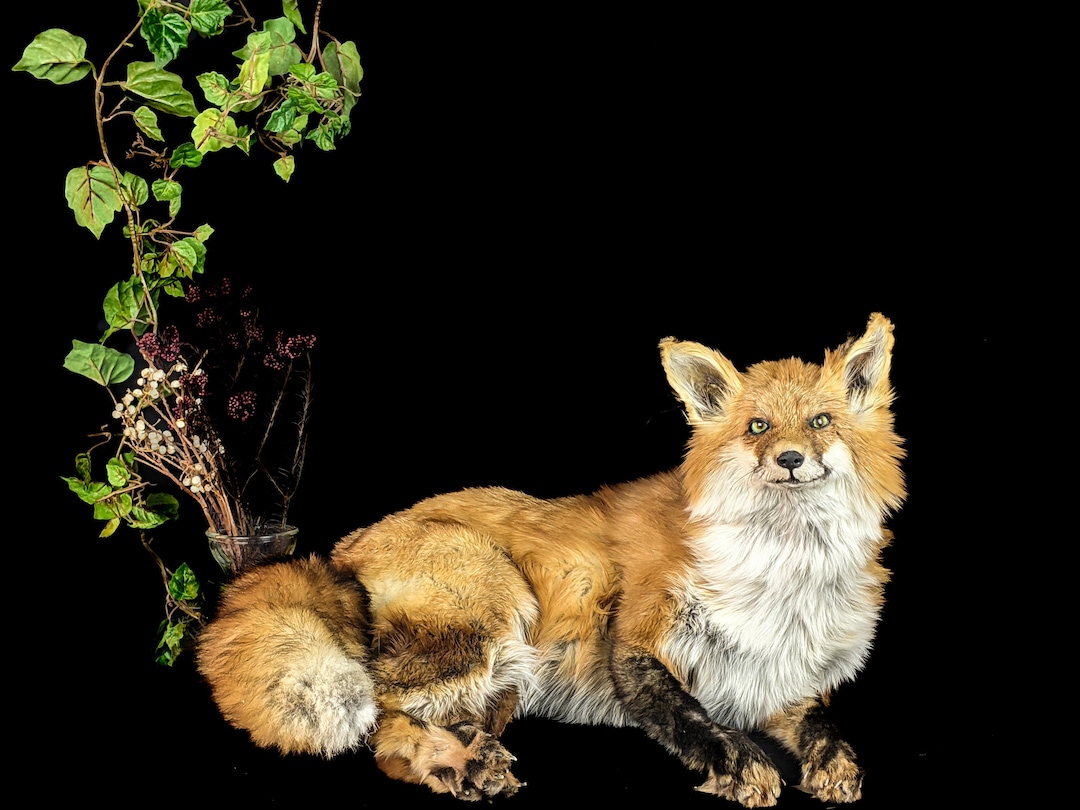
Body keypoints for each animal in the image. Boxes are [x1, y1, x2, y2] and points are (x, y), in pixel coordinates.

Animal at [196, 313, 905, 808]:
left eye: (820, 422)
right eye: (758, 427)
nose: (790, 458)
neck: (783, 580)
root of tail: (347, 544)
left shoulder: (778, 678)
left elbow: (821, 728)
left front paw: (834, 764)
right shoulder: (636, 644)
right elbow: (698, 723)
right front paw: (742, 767)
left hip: (505, 679)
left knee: (410, 732)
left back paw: (466, 760)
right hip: (497, 612)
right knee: (381, 719)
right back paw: (460, 765)